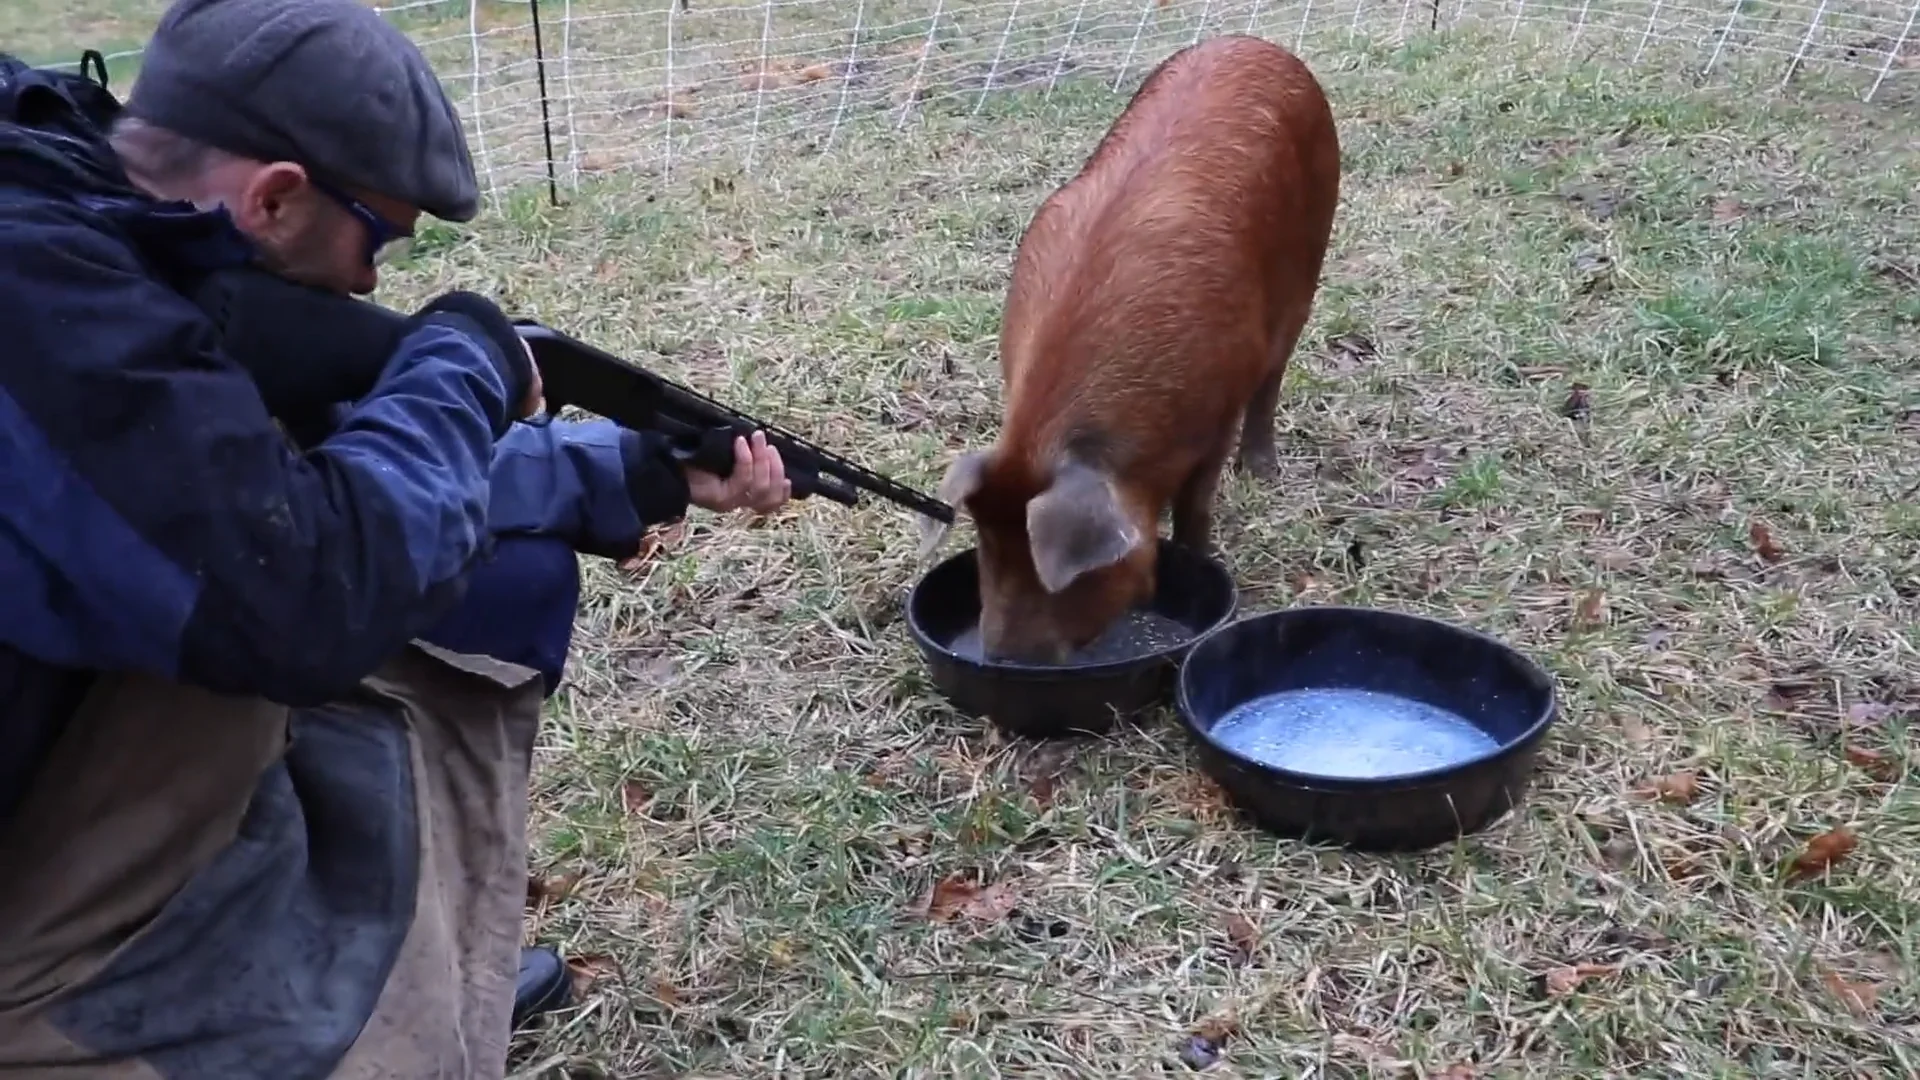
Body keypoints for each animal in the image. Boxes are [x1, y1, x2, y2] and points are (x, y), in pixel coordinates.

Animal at [917, 34, 1342, 665]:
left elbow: (1195, 505)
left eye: (1057, 573)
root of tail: (1252, 42)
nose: (1003, 657)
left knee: (1275, 372)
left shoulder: (1219, 406)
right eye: (985, 542)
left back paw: (1262, 471)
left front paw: (1201, 560)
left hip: (1312, 254)